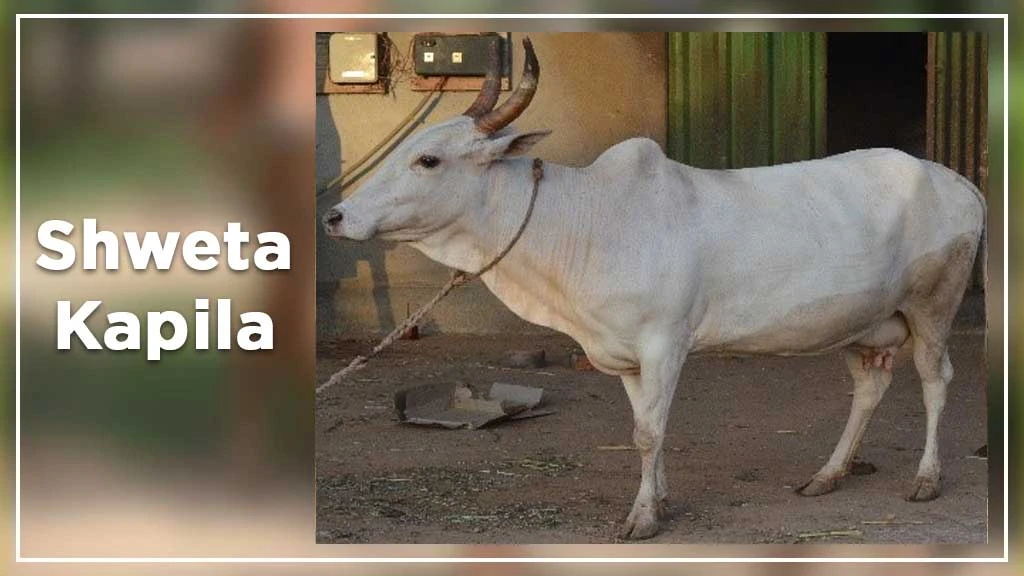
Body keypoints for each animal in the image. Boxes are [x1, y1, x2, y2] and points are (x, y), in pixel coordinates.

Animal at [322, 38, 985, 539]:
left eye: (428, 160)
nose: (335, 217)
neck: (585, 221)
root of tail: (957, 181)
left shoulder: (665, 343)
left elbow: (649, 432)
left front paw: (642, 517)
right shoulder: (622, 356)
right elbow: (646, 427)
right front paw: (660, 500)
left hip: (934, 305)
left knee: (937, 382)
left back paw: (926, 479)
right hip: (863, 323)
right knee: (869, 388)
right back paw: (828, 473)